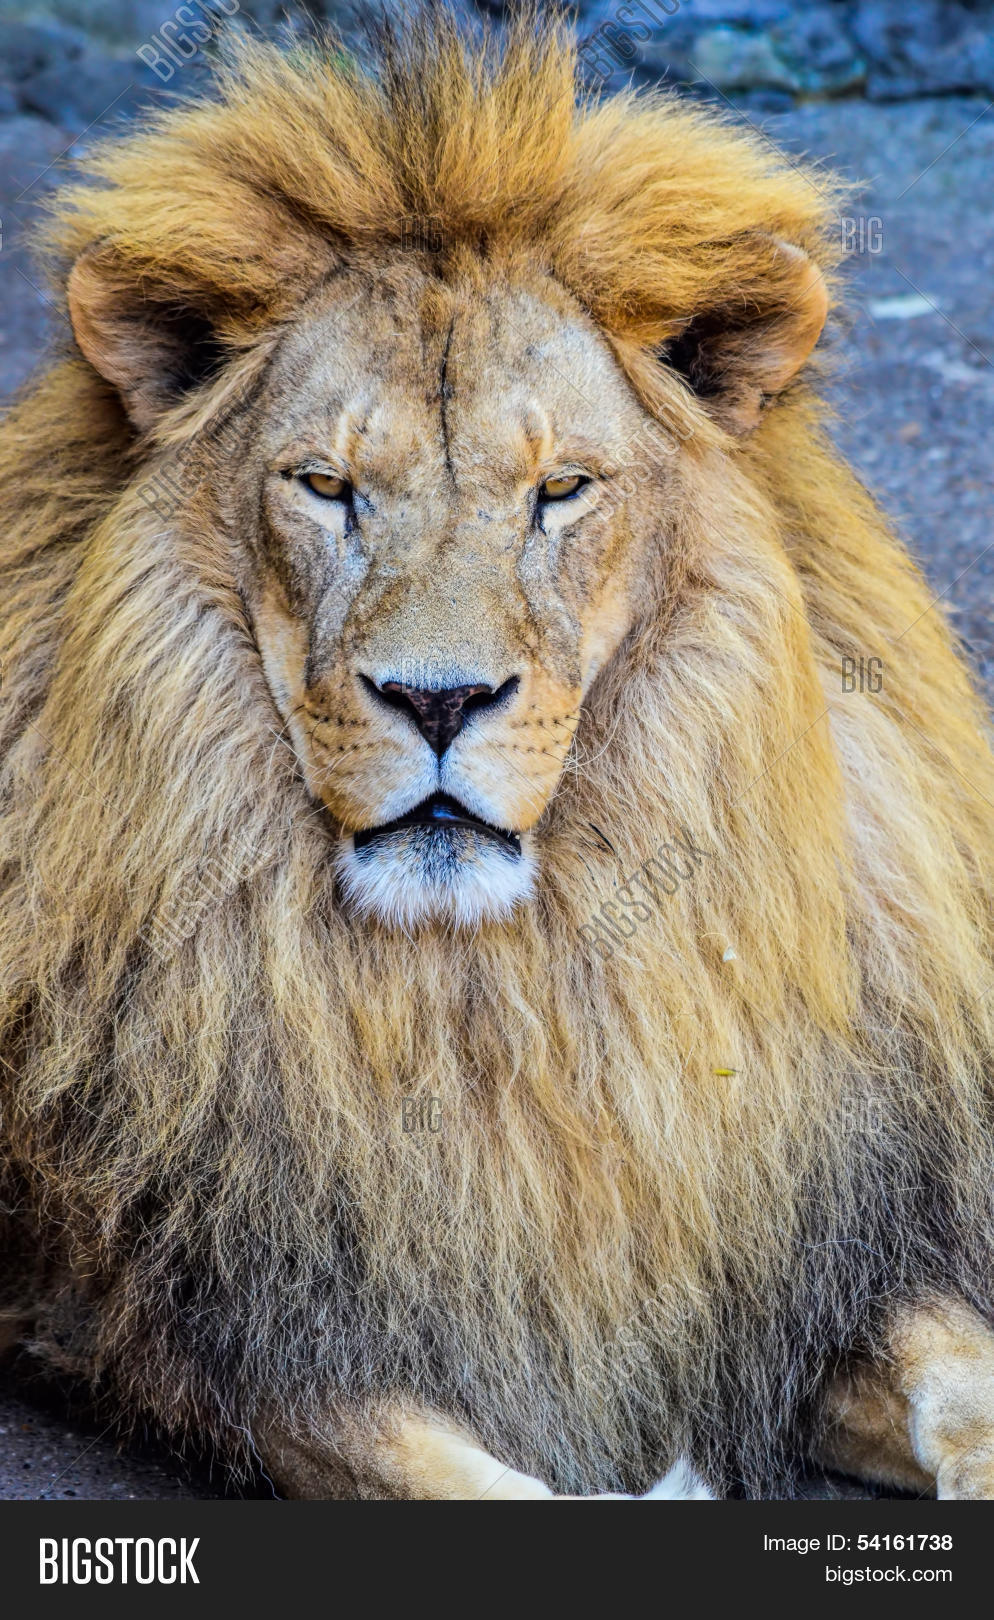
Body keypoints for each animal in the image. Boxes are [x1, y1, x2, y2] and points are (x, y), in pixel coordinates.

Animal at [2, 8, 994, 1501]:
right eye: (327, 488)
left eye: (558, 492)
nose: (440, 699)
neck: (516, 989)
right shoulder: (242, 1345)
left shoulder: (803, 1267)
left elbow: (966, 1391)